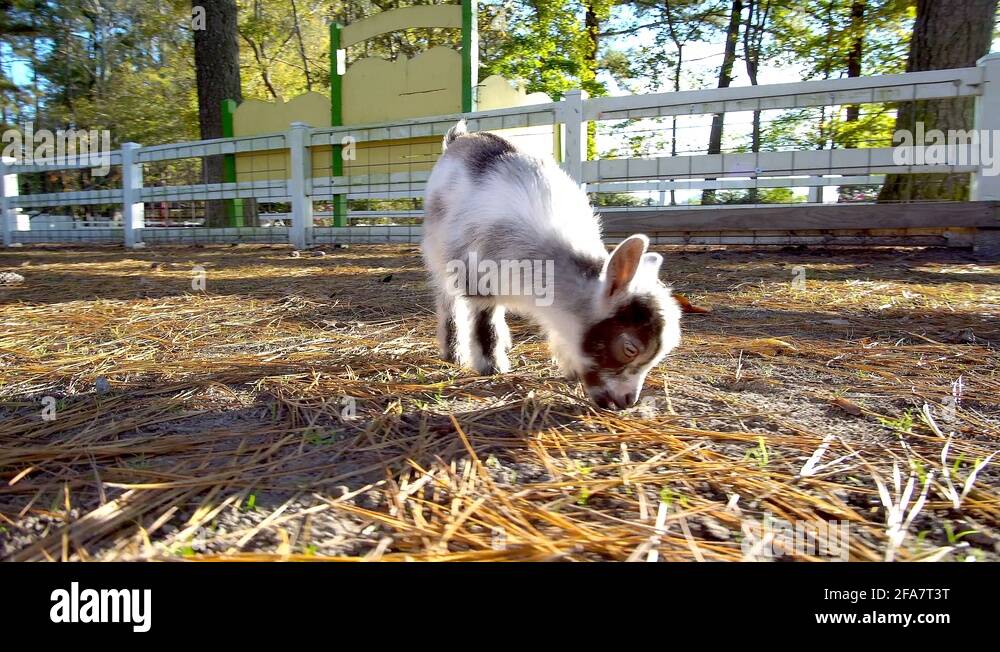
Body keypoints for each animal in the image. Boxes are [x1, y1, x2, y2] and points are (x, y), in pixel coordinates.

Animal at [421, 120, 681, 410]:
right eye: (630, 348)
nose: (626, 402)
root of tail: (461, 138)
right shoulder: (478, 275)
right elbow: (485, 323)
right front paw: (492, 366)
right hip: (439, 253)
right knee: (447, 300)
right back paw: (453, 351)